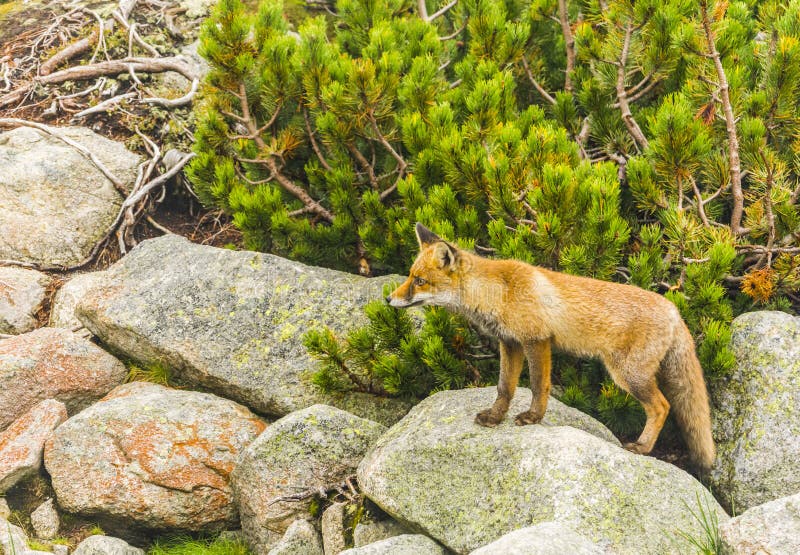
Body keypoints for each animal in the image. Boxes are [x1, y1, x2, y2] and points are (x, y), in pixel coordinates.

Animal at [386, 222, 716, 469]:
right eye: (410, 276)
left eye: (419, 281)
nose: (388, 299)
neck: (498, 292)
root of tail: (674, 310)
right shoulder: (510, 343)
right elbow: (505, 388)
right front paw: (495, 417)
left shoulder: (537, 340)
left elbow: (537, 385)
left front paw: (533, 418)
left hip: (628, 375)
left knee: (662, 407)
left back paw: (643, 447)